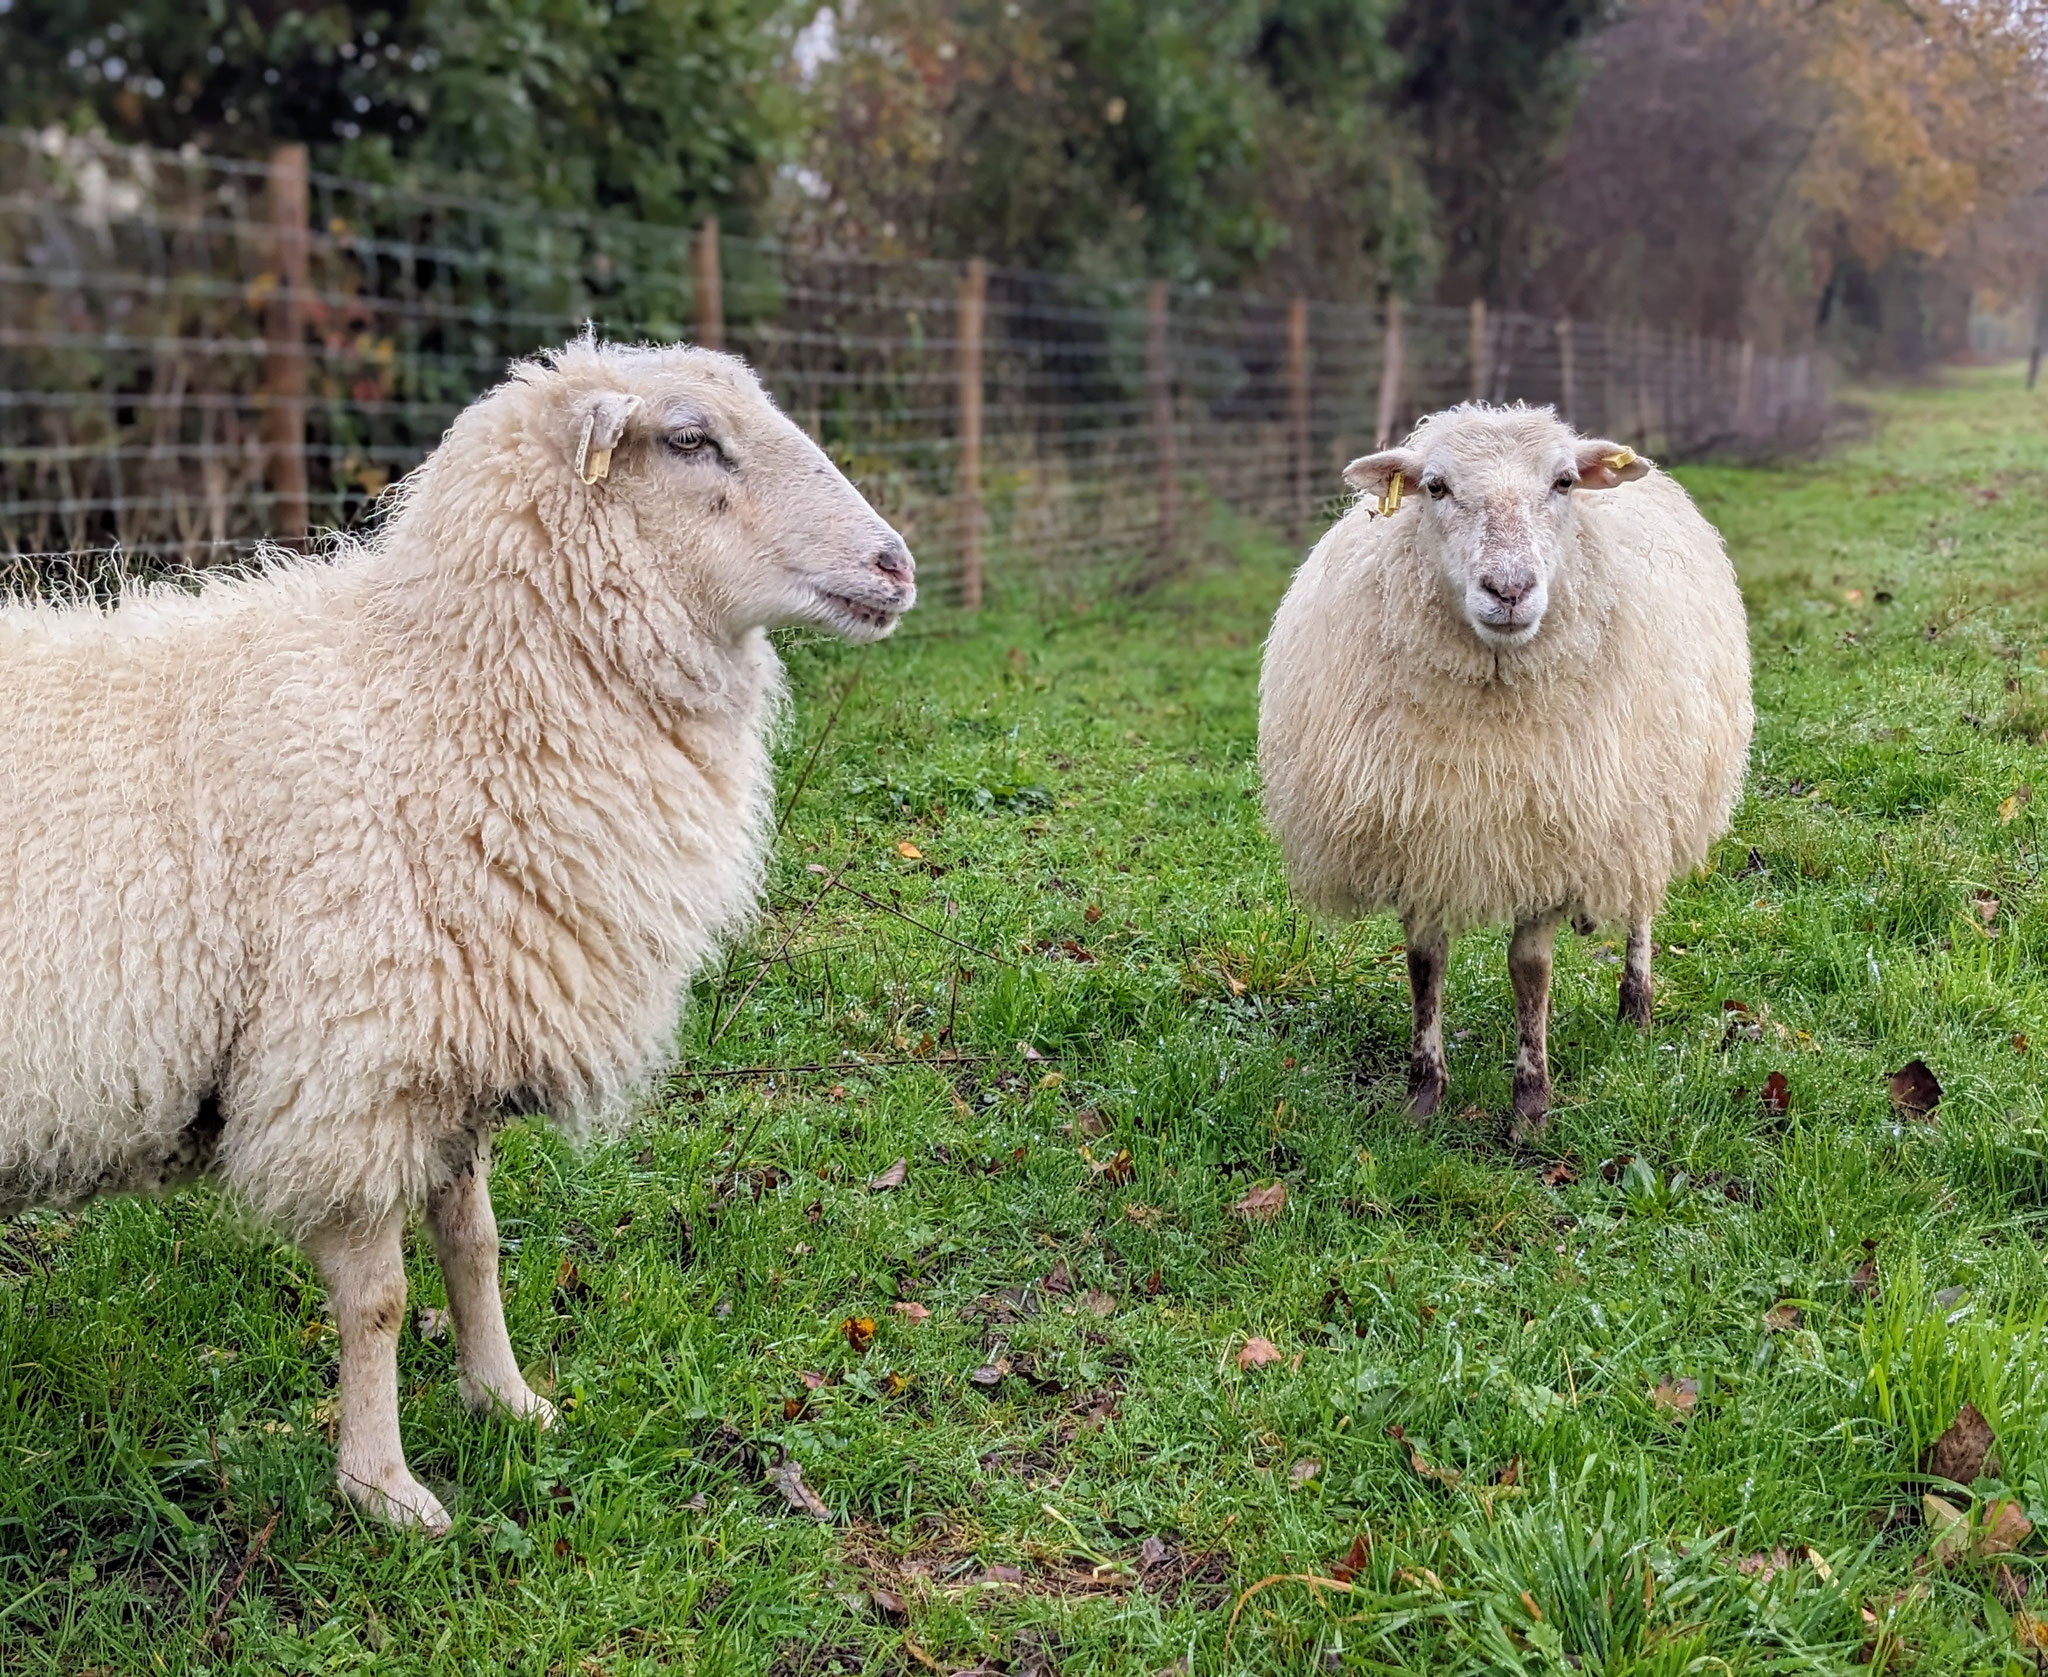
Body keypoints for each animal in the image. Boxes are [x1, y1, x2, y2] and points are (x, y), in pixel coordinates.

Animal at [0, 337, 916, 1534]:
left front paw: (508, 1402)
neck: (440, 697)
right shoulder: (349, 1068)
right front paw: (384, 1490)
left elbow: (474, 1247)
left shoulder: (454, 1049)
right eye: (689, 439)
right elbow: (380, 1300)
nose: (896, 566)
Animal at [1258, 402, 1751, 1139]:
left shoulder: (1550, 836)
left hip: (1640, 798)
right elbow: (1425, 966)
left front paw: (1530, 1104)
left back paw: (1635, 1004)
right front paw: (1423, 1094)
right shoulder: (1422, 835)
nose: (1510, 589)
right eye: (1435, 487)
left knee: (1640, 898)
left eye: (1565, 482)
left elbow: (1530, 972)